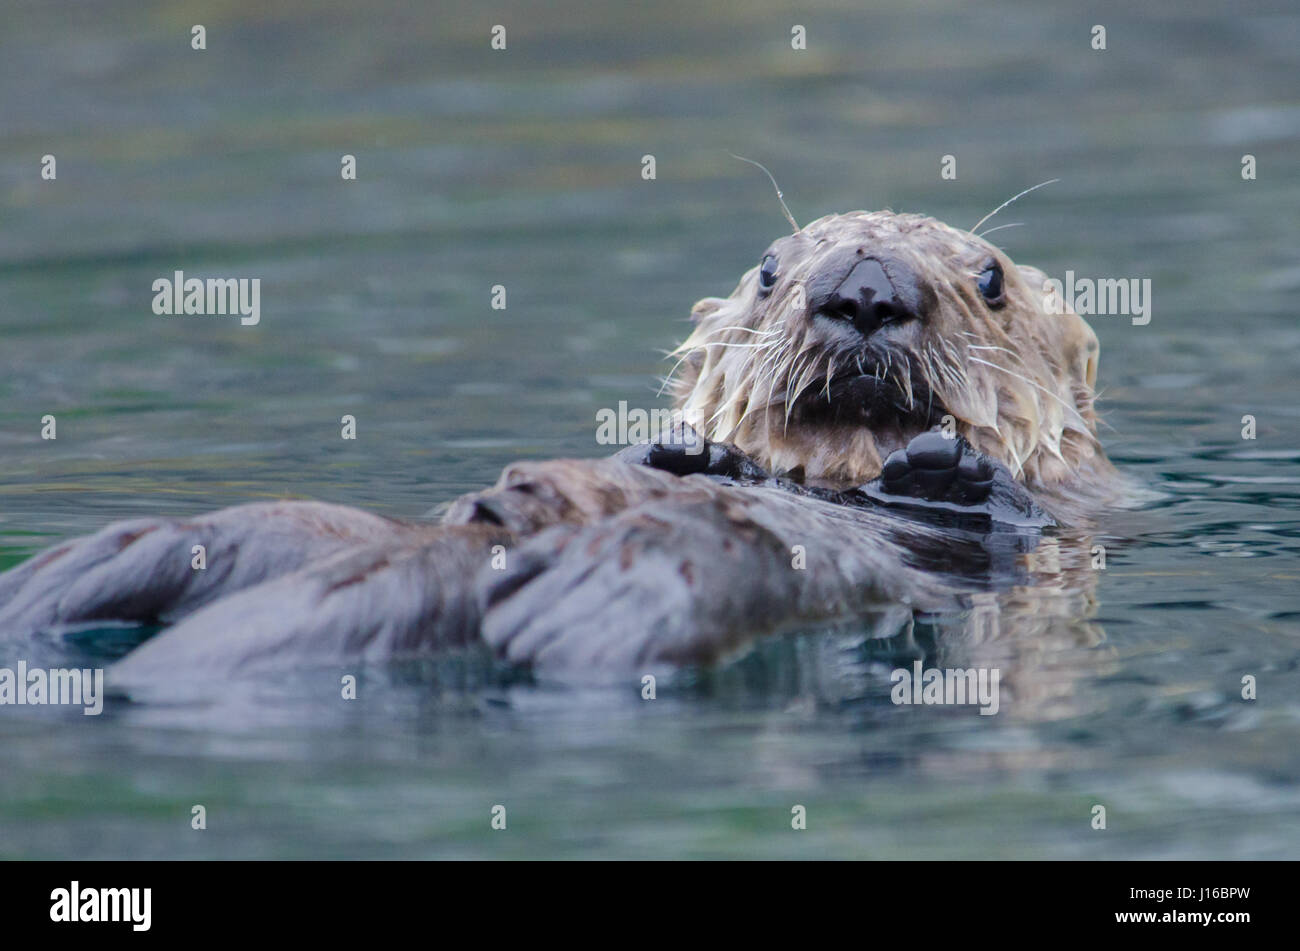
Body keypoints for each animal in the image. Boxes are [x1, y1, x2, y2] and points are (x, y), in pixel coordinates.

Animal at [0, 210, 1126, 689]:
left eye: (990, 279)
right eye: (770, 267)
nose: (864, 285)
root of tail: (473, 569)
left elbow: (992, 512)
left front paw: (942, 468)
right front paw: (688, 456)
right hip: (293, 533)